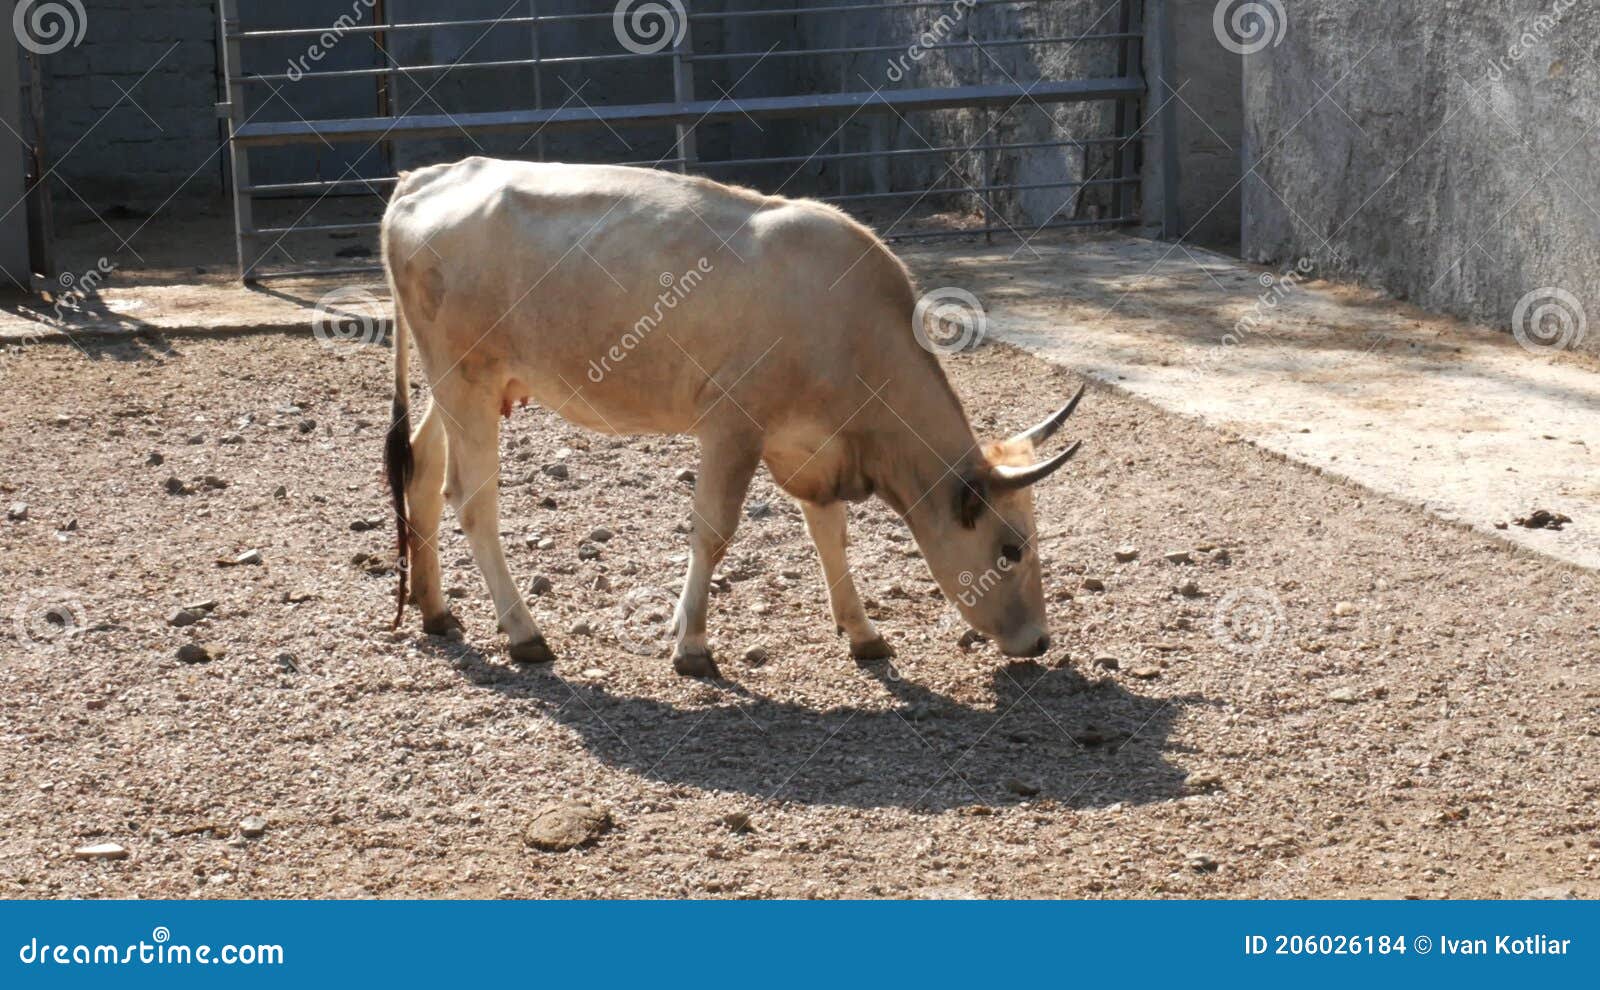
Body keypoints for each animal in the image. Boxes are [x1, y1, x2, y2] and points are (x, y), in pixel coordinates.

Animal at [382, 157, 1083, 677]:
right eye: (1012, 548)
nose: (1041, 640)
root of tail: (424, 177)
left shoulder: (810, 446)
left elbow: (829, 535)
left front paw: (862, 632)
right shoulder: (732, 424)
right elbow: (713, 532)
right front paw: (691, 644)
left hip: (464, 384)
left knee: (422, 469)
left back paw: (436, 611)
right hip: (465, 377)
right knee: (472, 498)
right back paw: (523, 632)